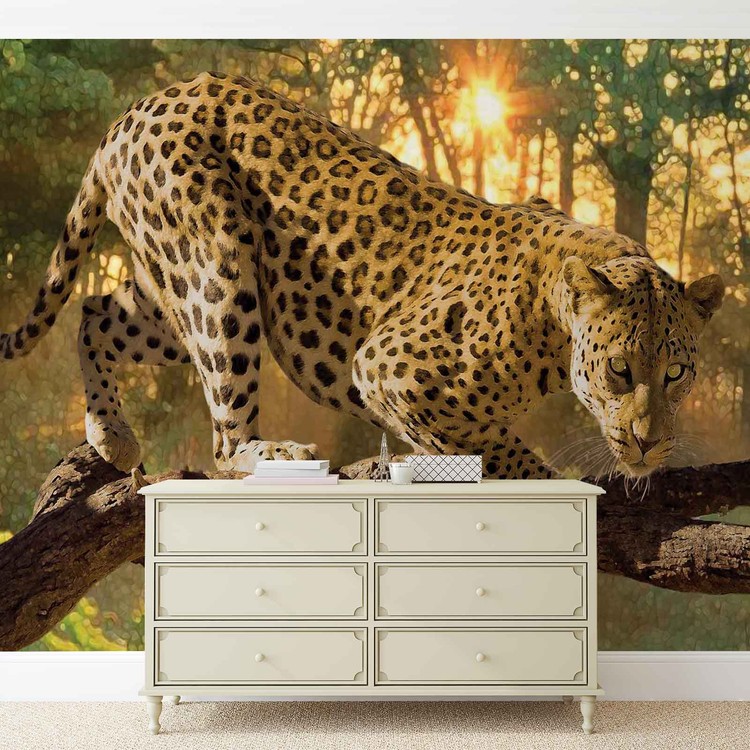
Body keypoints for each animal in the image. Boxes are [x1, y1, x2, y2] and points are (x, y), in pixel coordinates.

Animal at [0, 72, 725, 478]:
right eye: (620, 370)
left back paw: (111, 435)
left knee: (95, 312)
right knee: (226, 442)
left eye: (677, 374)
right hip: (219, 269)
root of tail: (136, 109)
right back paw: (281, 457)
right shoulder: (388, 367)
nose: (648, 444)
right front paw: (550, 478)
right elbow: (492, 445)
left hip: (174, 291)